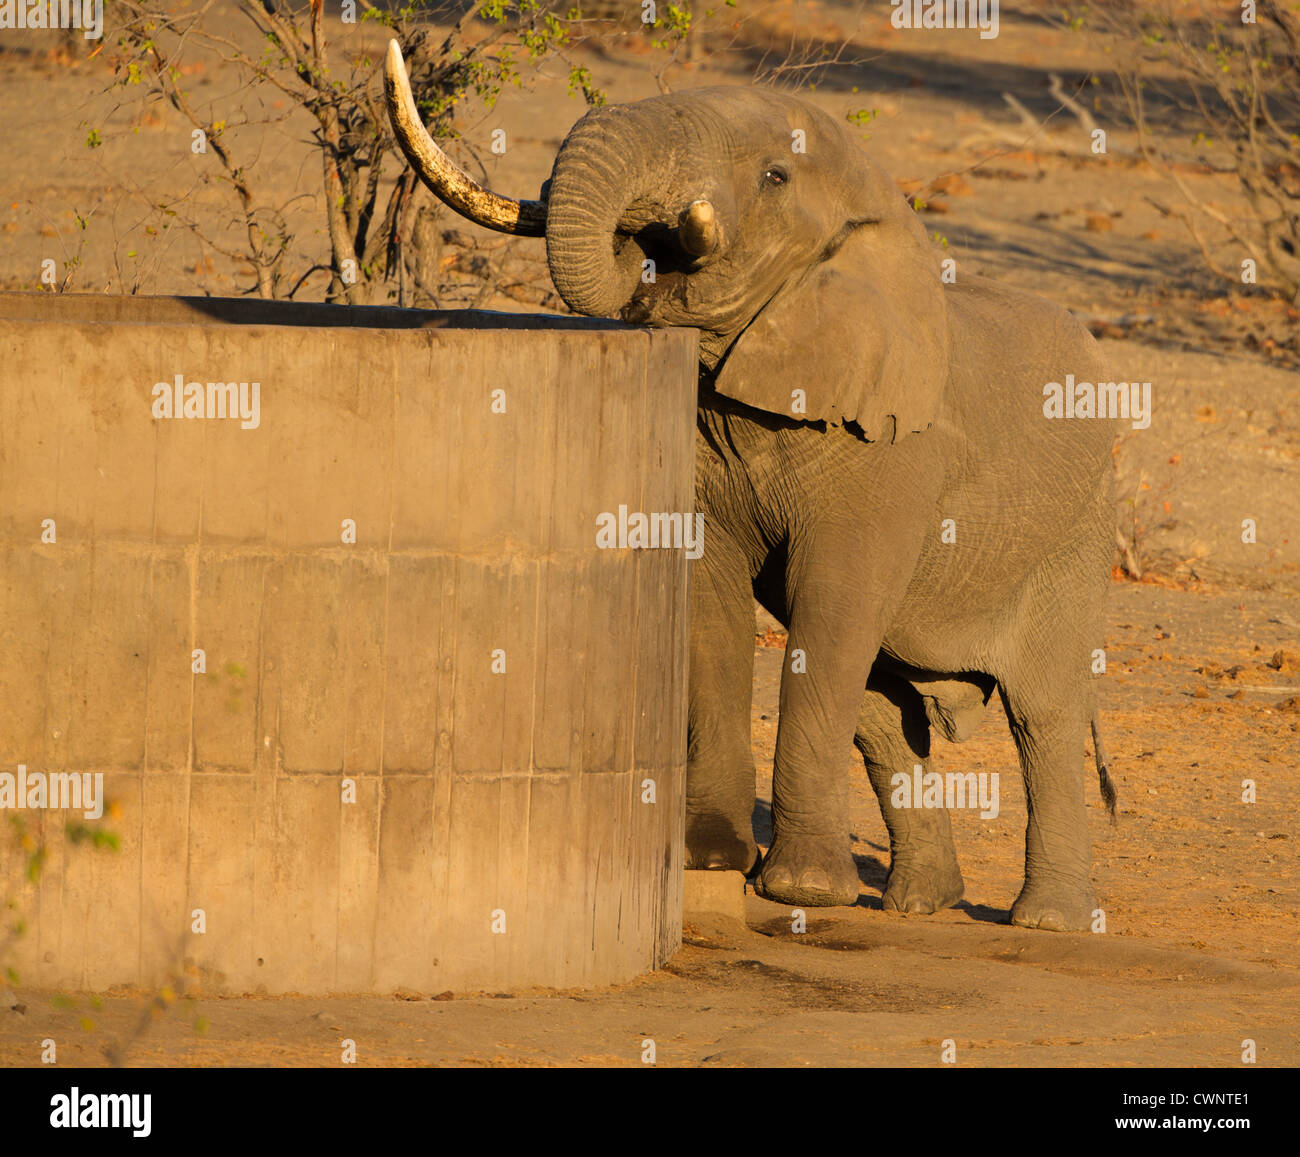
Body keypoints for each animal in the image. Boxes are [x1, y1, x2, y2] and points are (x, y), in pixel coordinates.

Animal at [383, 43, 1119, 931]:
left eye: (774, 175)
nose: (654, 254)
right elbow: (712, 597)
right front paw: (708, 859)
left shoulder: (891, 457)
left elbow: (830, 603)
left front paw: (799, 891)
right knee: (885, 709)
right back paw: (918, 904)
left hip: (1075, 533)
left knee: (1043, 711)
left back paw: (1047, 921)